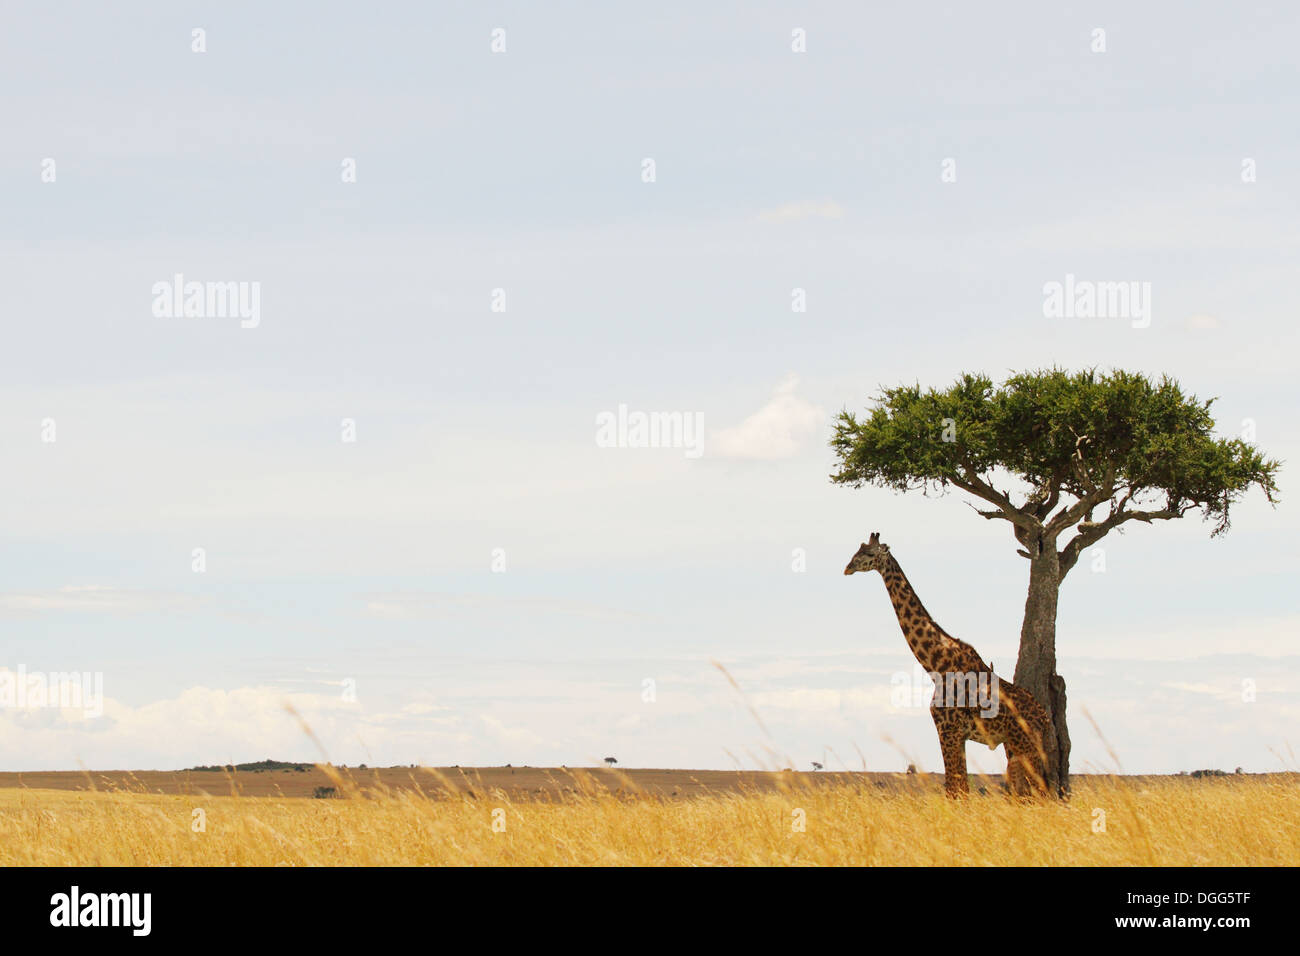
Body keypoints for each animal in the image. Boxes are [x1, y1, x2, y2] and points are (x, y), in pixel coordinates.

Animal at [844, 533, 1051, 798]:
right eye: (856, 550)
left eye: (869, 553)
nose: (848, 567)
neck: (935, 664)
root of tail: (1044, 718)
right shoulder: (956, 734)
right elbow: (959, 788)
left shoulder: (948, 729)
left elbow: (955, 789)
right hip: (1013, 746)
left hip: (1025, 743)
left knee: (1041, 791)